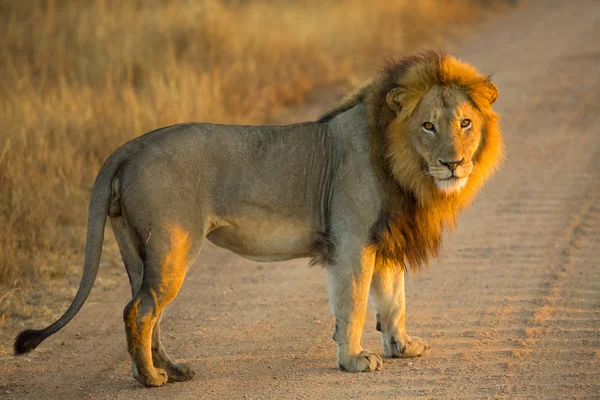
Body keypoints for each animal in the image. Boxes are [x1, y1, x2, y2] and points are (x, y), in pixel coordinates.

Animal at [12, 50, 502, 384]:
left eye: (464, 123)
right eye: (428, 126)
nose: (455, 164)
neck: (403, 166)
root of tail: (130, 146)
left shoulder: (385, 238)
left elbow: (393, 299)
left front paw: (403, 347)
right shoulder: (351, 241)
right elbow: (355, 304)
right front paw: (353, 360)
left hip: (138, 249)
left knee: (146, 309)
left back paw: (168, 369)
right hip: (173, 243)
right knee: (140, 310)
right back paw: (150, 379)